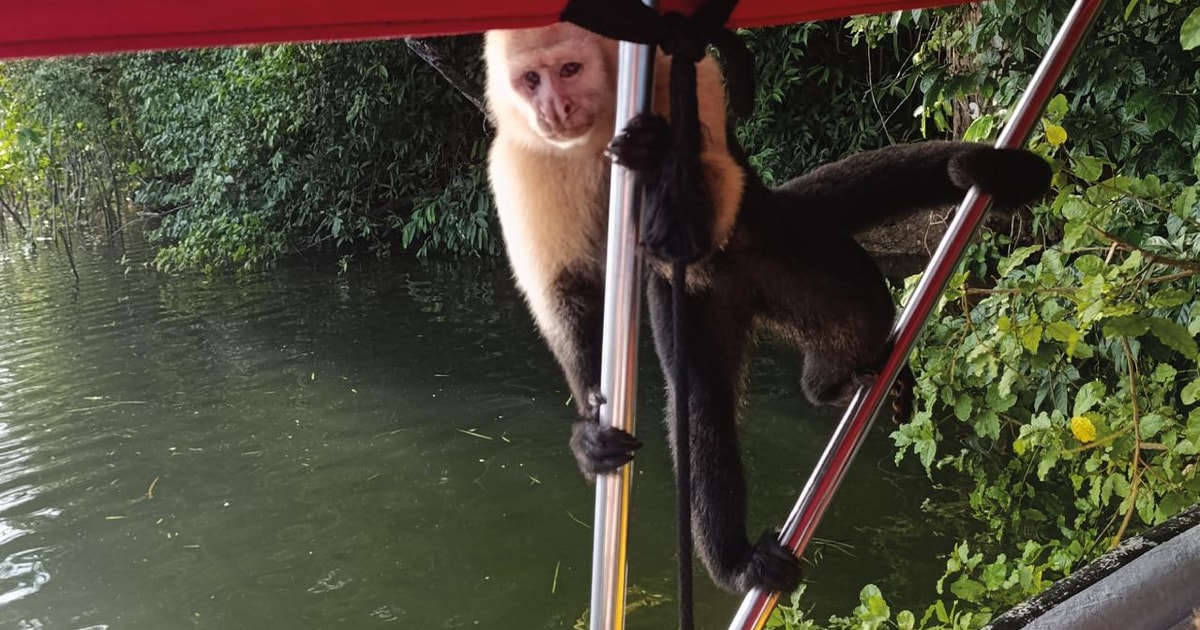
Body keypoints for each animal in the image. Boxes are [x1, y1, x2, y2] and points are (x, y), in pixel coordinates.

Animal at [483, 22, 1052, 595]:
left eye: (568, 69)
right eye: (530, 80)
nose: (553, 108)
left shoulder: (676, 77)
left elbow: (699, 204)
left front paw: (656, 150)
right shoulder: (522, 155)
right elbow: (563, 288)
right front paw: (590, 424)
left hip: (790, 250)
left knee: (858, 310)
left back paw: (831, 384)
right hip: (690, 299)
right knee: (700, 396)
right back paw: (737, 558)